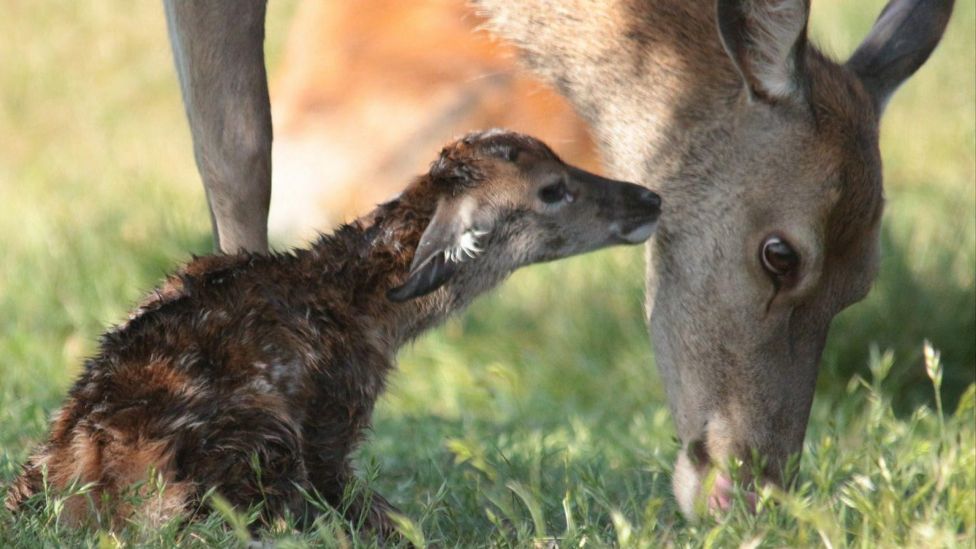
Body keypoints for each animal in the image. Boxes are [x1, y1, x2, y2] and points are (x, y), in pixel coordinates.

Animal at [4, 130, 662, 534]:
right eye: (553, 188)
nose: (649, 198)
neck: (365, 311)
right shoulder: (332, 420)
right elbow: (382, 515)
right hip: (260, 446)